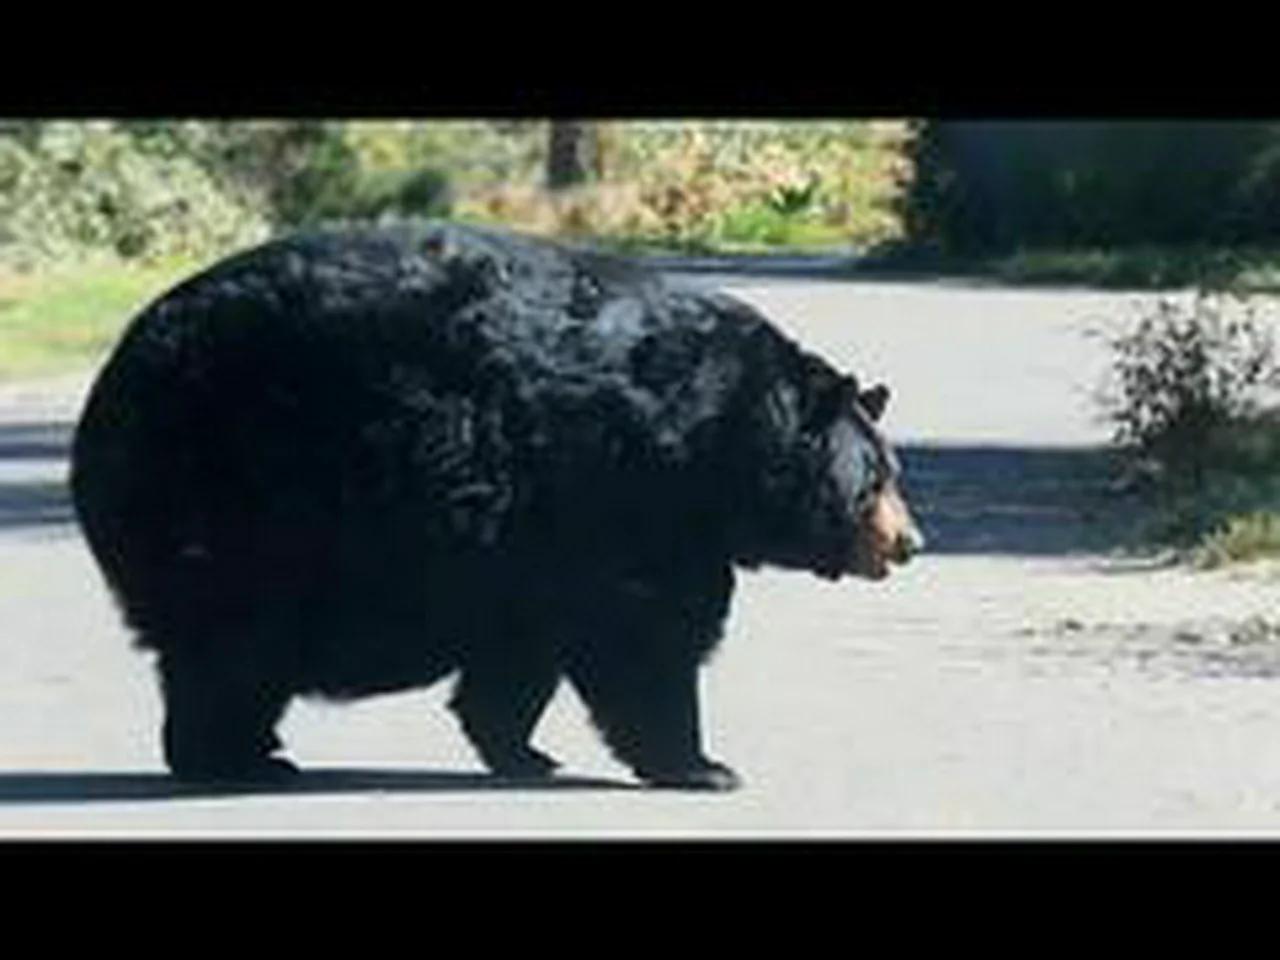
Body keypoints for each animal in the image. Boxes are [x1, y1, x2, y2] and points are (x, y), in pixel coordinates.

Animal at [70, 221, 923, 790]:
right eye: (874, 479)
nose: (909, 542)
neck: (722, 436)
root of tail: (115, 378)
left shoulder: (531, 547)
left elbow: (521, 653)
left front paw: (525, 752)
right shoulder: (625, 499)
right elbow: (648, 635)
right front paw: (704, 764)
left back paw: (249, 752)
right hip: (237, 492)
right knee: (233, 644)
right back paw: (235, 759)